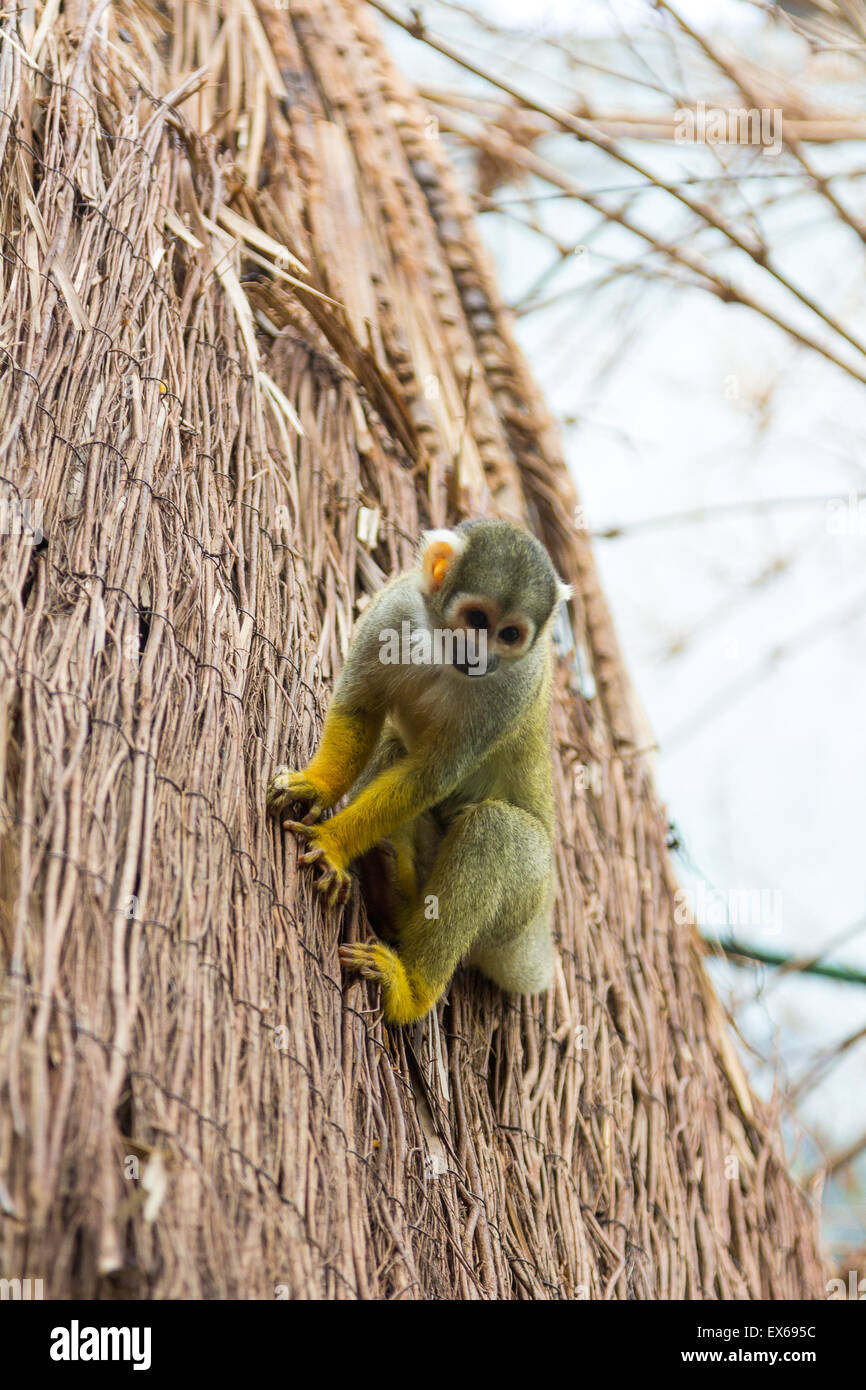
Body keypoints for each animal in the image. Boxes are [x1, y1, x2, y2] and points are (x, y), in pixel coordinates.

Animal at [267, 518, 572, 1025]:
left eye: (510, 635)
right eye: (478, 620)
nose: (483, 659)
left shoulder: (513, 686)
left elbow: (431, 775)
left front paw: (333, 843)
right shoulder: (394, 609)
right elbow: (362, 711)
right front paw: (317, 785)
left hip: (525, 900)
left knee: (497, 831)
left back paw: (412, 992)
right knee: (393, 744)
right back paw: (394, 893)